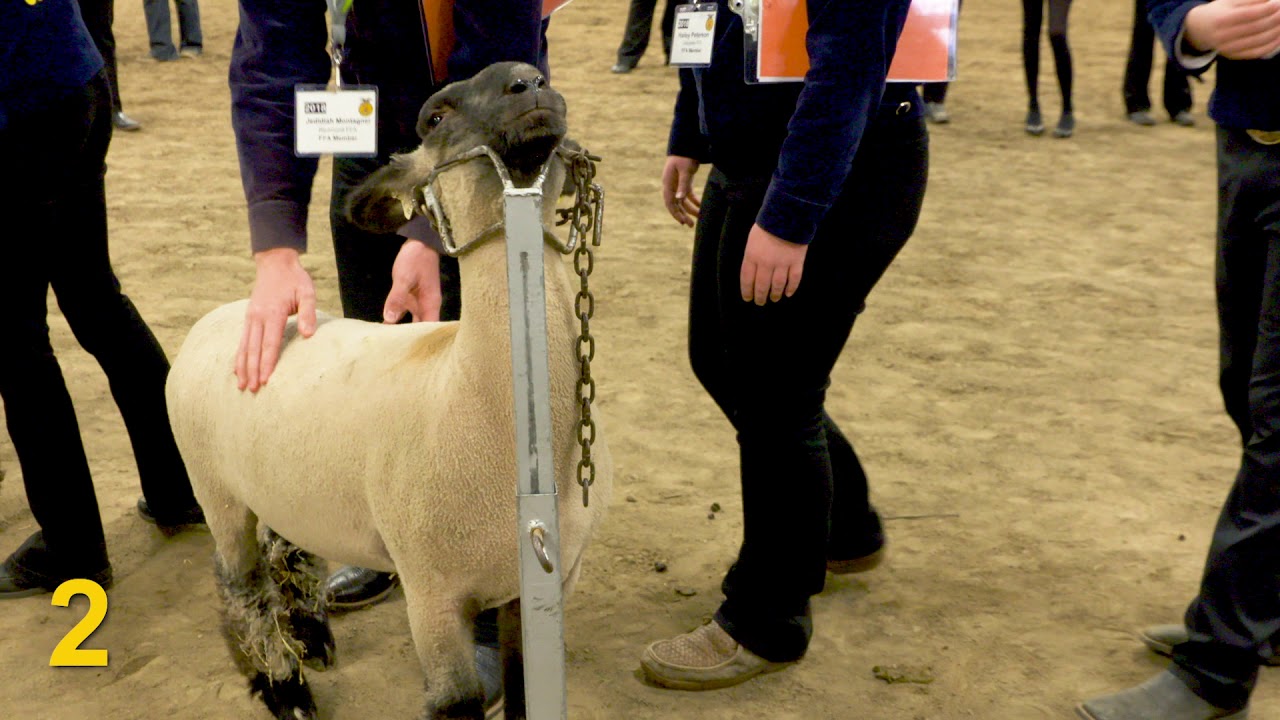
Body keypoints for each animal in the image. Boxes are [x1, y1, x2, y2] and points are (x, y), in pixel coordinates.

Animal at [165, 61, 612, 720]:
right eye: (436, 116)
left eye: (538, 73)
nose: (529, 85)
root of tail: (222, 315)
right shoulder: (432, 594)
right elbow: (457, 702)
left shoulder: (538, 588)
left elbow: (526, 694)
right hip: (216, 490)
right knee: (238, 586)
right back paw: (284, 686)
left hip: (279, 475)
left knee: (284, 543)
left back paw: (311, 635)